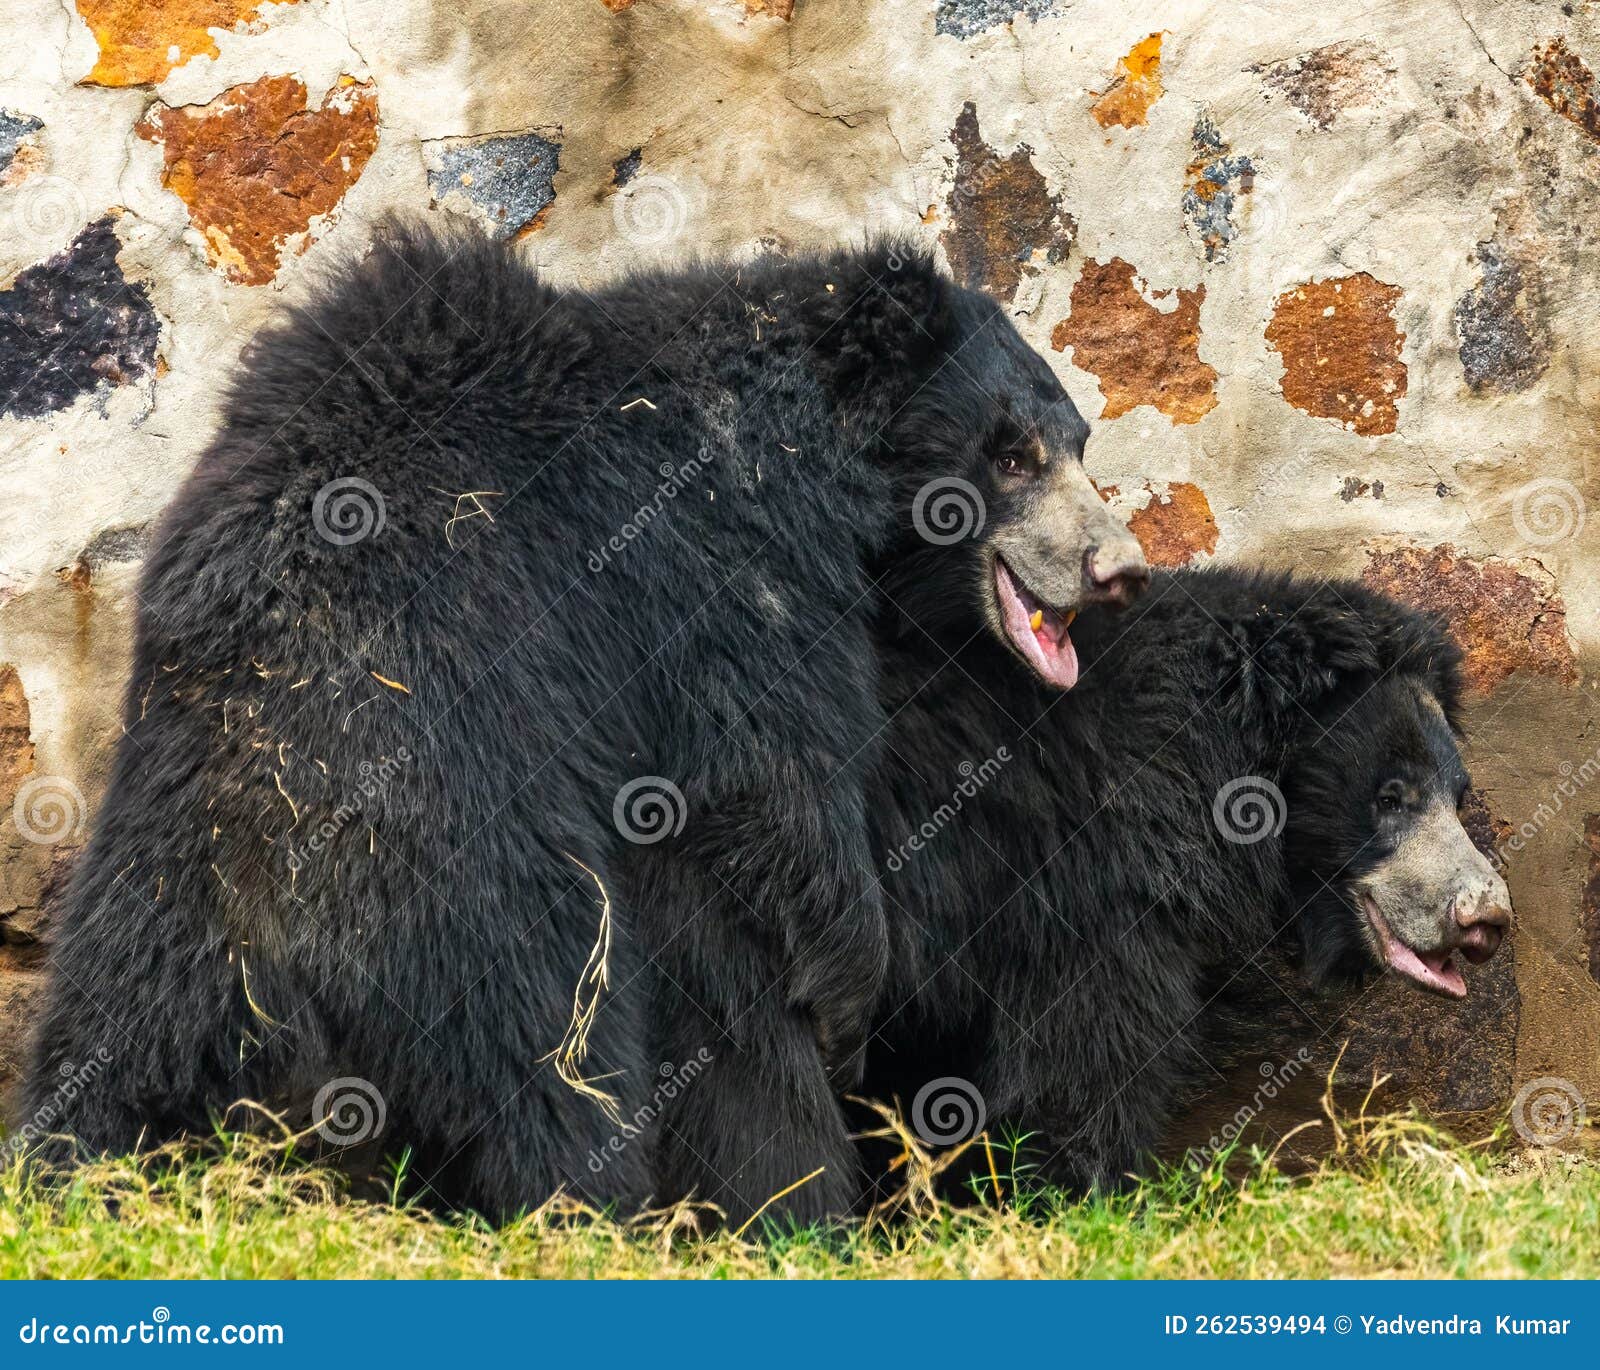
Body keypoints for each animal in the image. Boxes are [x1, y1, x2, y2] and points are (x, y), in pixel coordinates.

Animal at [20, 224, 1148, 1225]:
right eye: (1011, 455)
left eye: (1078, 443)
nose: (1120, 568)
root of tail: (288, 924)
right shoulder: (723, 561)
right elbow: (777, 777)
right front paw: (846, 1004)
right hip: (487, 890)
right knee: (564, 1062)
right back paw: (608, 1210)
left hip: (152, 889)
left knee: (105, 1054)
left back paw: (77, 1169)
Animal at [858, 565, 1511, 1197]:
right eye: (1391, 799)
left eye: (1458, 798)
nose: (1486, 916)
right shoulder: (1095, 884)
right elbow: (1091, 1044)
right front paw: (1070, 1190)